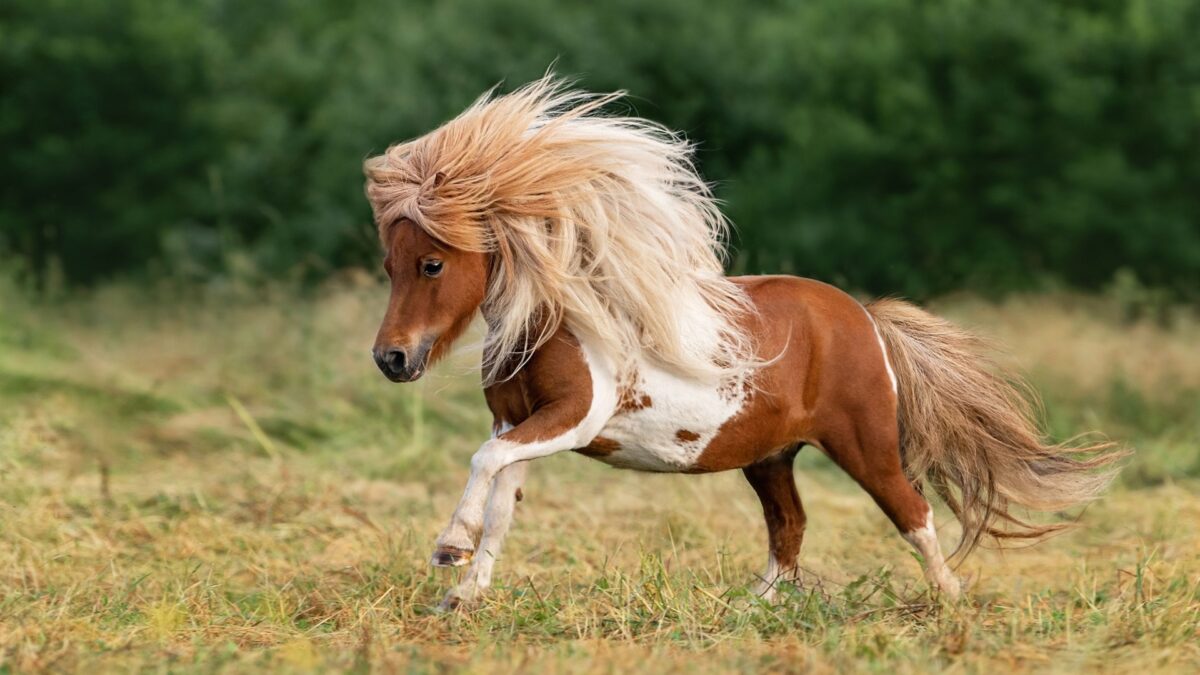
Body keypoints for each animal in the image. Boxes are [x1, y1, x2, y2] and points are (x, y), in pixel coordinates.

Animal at [363, 76, 1123, 610]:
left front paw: (448, 552)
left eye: (431, 264)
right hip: (771, 457)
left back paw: (950, 601)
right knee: (790, 529)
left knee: (913, 512)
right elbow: (499, 500)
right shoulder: (519, 423)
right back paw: (746, 608)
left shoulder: (571, 418)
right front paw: (463, 592)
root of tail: (865, 318)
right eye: (389, 264)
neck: (557, 321)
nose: (391, 359)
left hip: (865, 444)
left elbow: (483, 464)